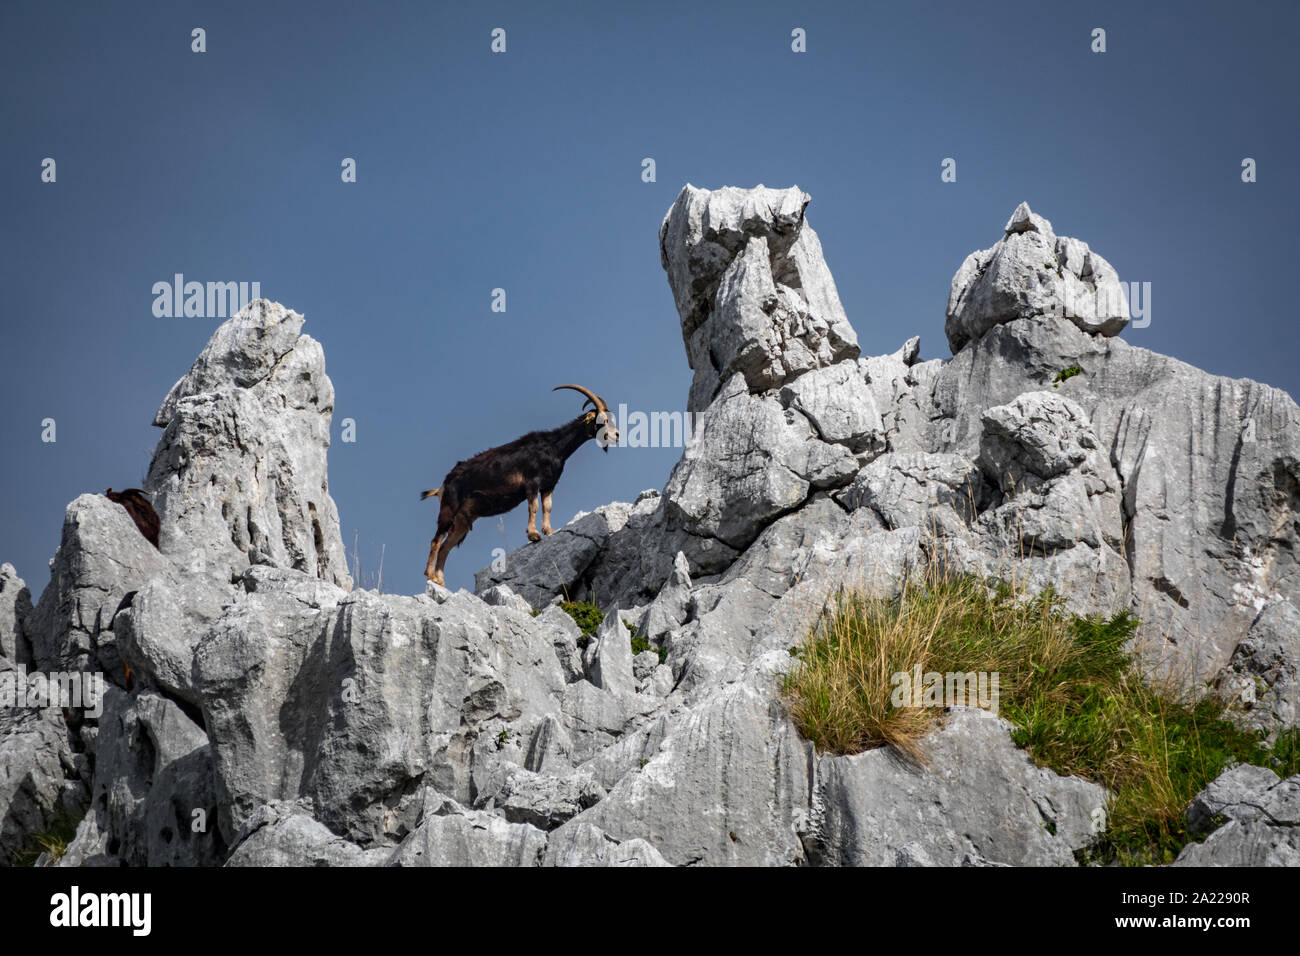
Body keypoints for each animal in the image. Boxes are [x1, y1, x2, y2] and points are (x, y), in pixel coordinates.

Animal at [420, 384, 619, 587]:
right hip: (449, 509)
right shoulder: (532, 483)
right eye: (601, 420)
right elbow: (534, 507)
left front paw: (549, 530)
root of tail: (443, 486)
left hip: (463, 520)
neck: (554, 447)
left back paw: (440, 581)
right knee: (435, 542)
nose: (616, 435)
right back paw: (430, 575)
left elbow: (547, 507)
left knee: (446, 547)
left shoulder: (548, 485)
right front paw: (533, 534)